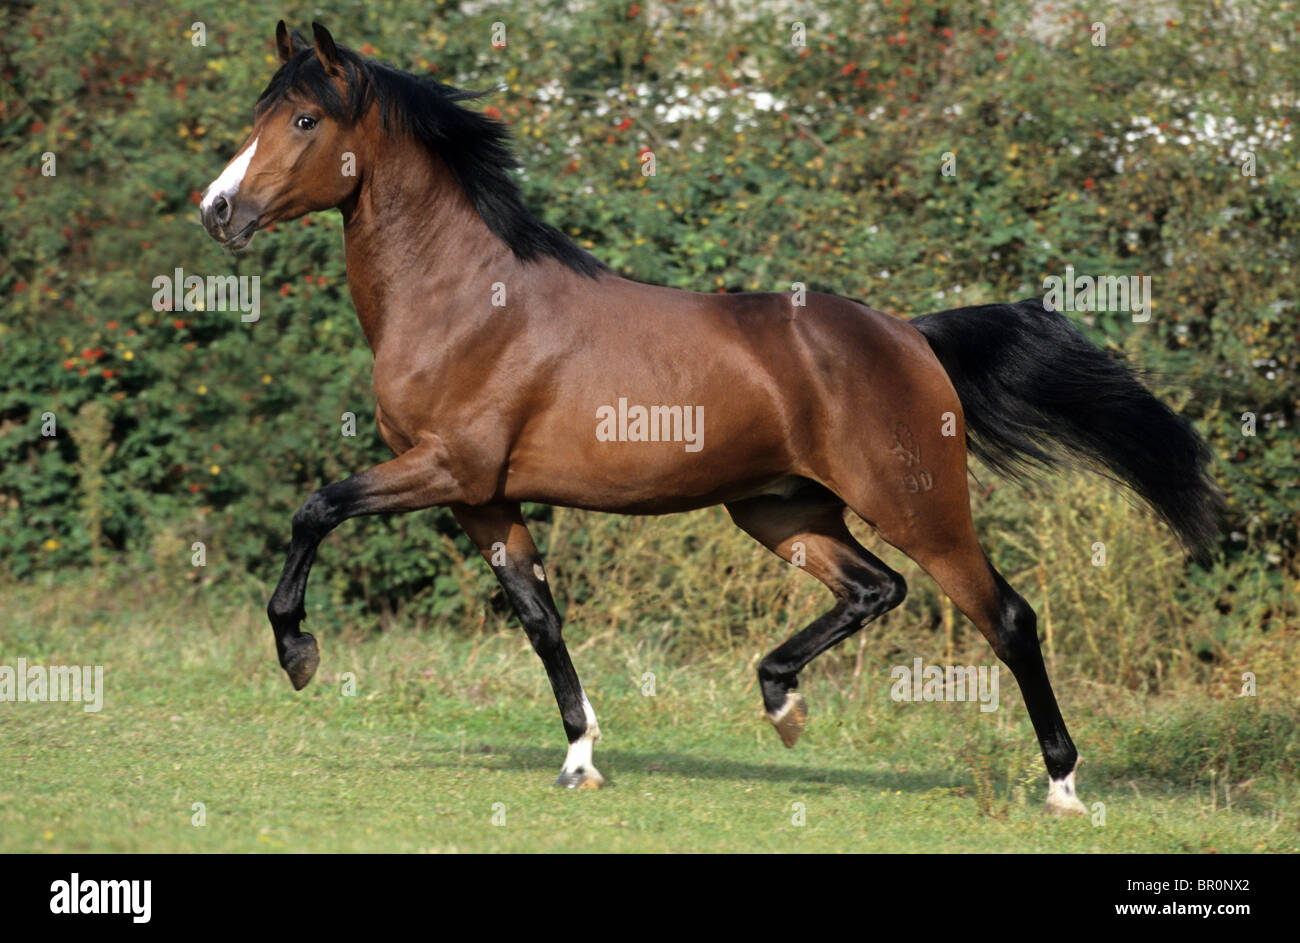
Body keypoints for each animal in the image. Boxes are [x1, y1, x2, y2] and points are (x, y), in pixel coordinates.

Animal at [199, 22, 1221, 811]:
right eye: (259, 115)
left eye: (304, 120)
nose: (218, 211)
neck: (467, 301)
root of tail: (912, 335)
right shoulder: (483, 499)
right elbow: (541, 619)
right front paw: (580, 759)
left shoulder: (445, 468)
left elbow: (316, 508)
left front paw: (298, 651)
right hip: (781, 508)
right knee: (873, 588)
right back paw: (782, 701)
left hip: (918, 505)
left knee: (1005, 615)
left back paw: (1062, 785)